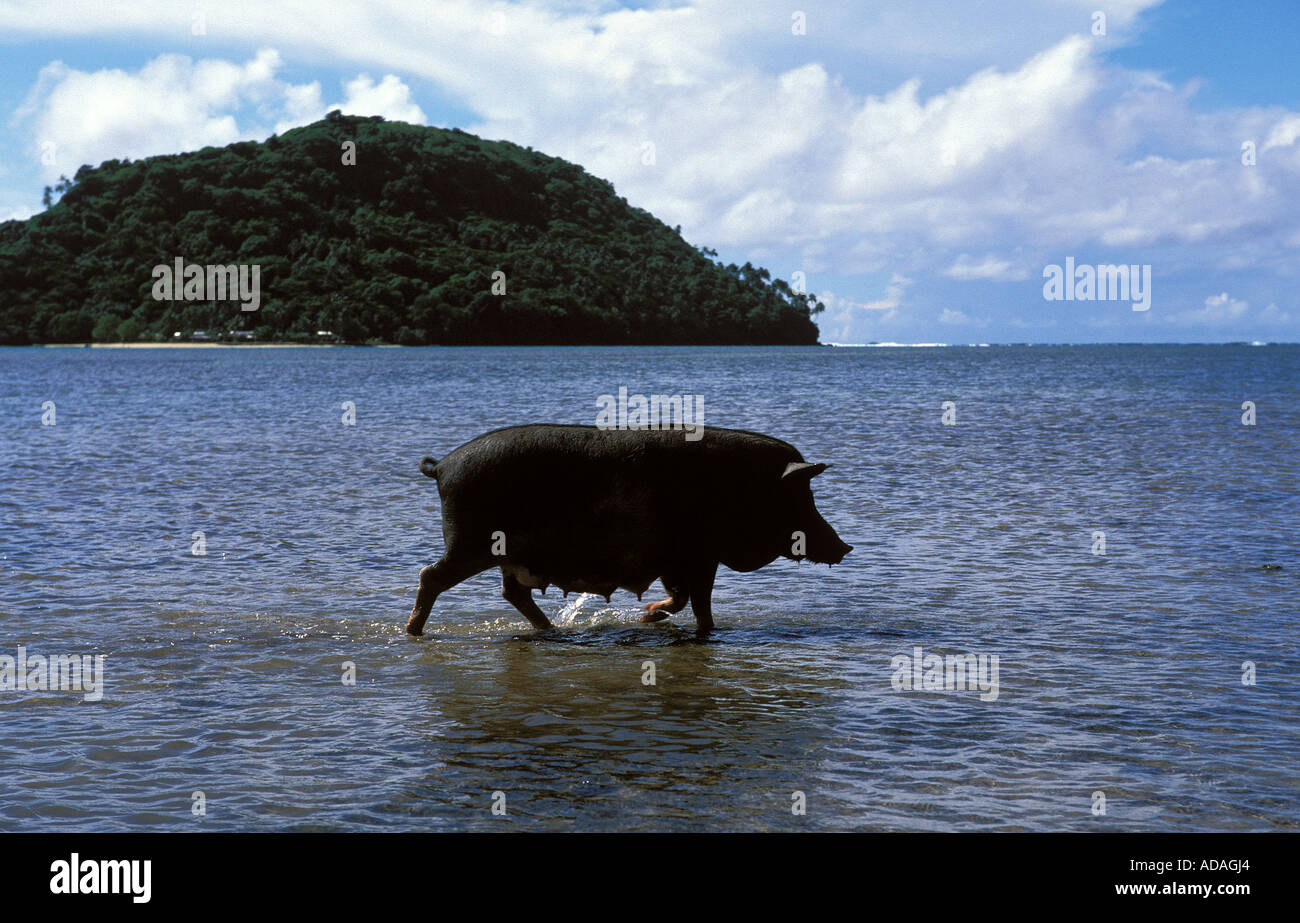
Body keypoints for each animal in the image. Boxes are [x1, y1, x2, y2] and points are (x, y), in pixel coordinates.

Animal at [405, 423, 851, 636]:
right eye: (803, 495)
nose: (845, 547)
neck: (745, 488)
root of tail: (442, 466)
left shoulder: (676, 560)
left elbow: (683, 597)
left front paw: (646, 615)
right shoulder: (698, 554)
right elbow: (699, 601)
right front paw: (668, 620)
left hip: (504, 555)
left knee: (511, 593)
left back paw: (551, 630)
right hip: (470, 543)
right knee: (431, 576)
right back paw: (413, 631)